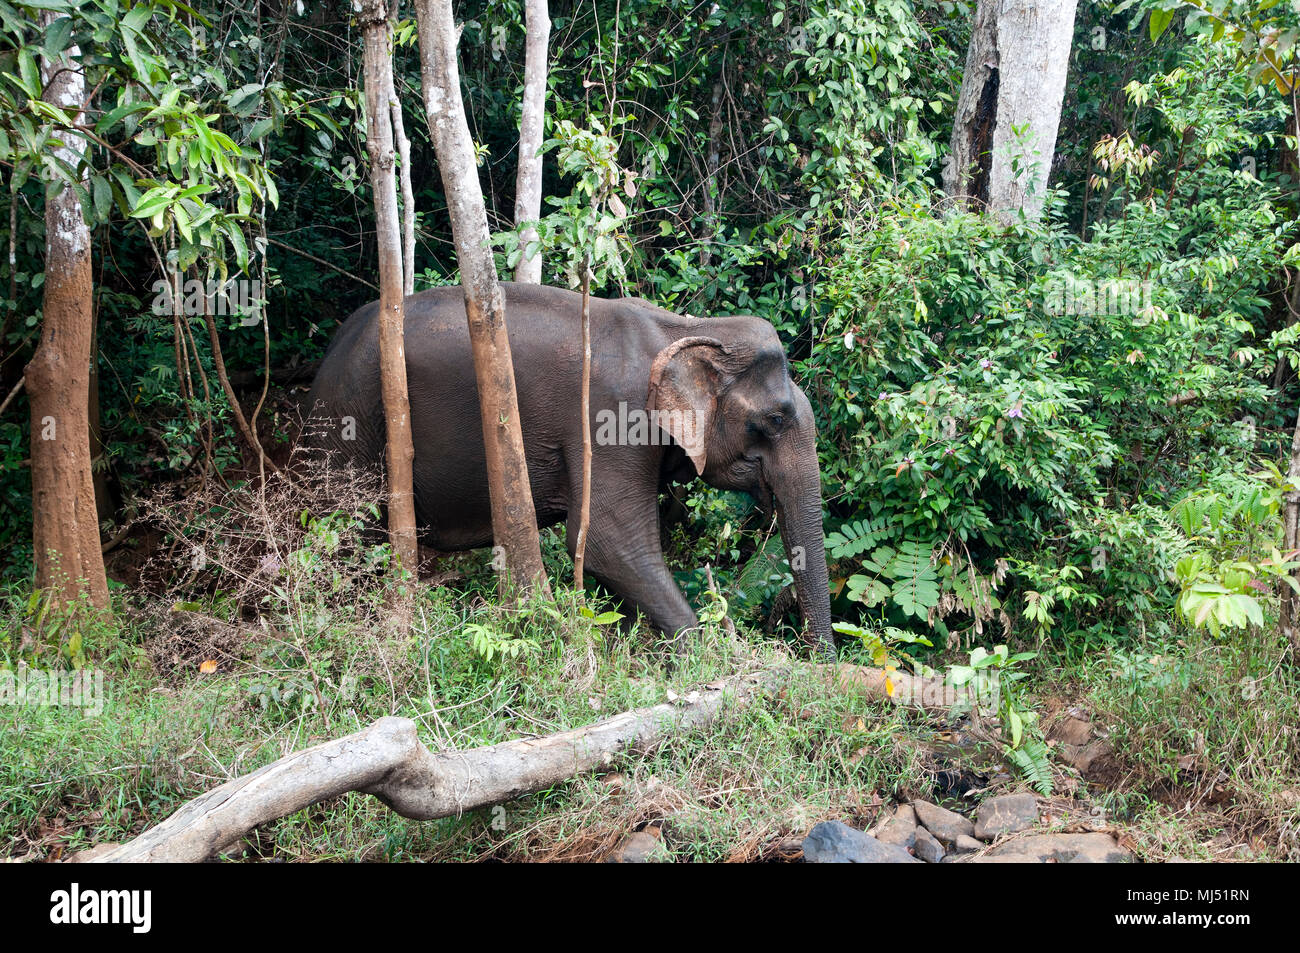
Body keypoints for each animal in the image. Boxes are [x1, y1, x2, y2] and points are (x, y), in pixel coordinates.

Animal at [304, 282, 833, 652]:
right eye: (776, 419)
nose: (815, 662)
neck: (687, 328)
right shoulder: (612, 421)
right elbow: (609, 543)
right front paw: (716, 662)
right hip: (349, 423)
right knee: (347, 544)